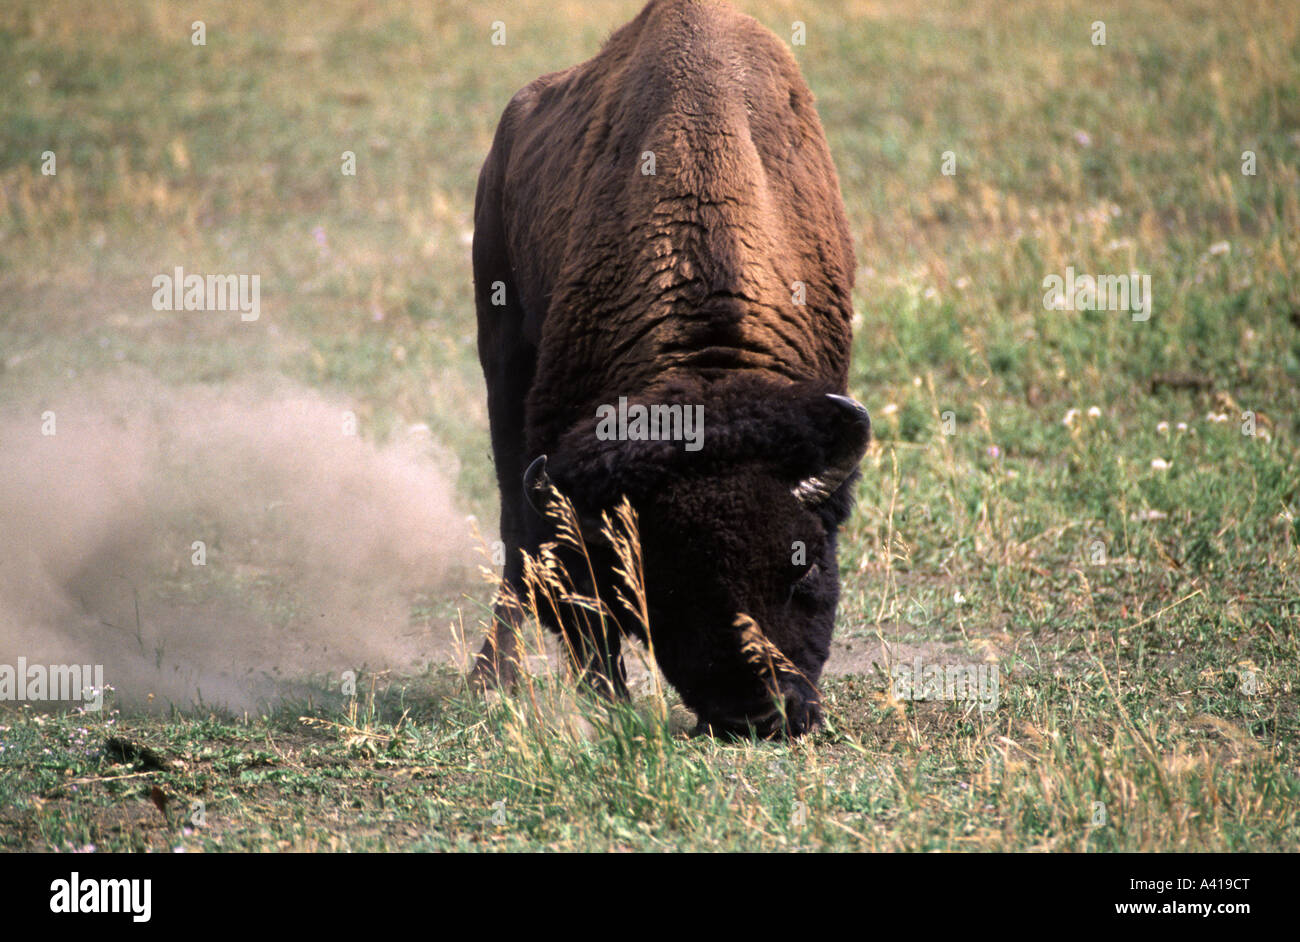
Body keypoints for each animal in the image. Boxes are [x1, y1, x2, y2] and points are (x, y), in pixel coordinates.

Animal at [469, 0, 869, 737]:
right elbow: (574, 600)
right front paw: (611, 708)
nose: (762, 713)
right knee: (514, 550)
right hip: (499, 355)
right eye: (670, 585)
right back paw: (491, 679)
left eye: (802, 572)